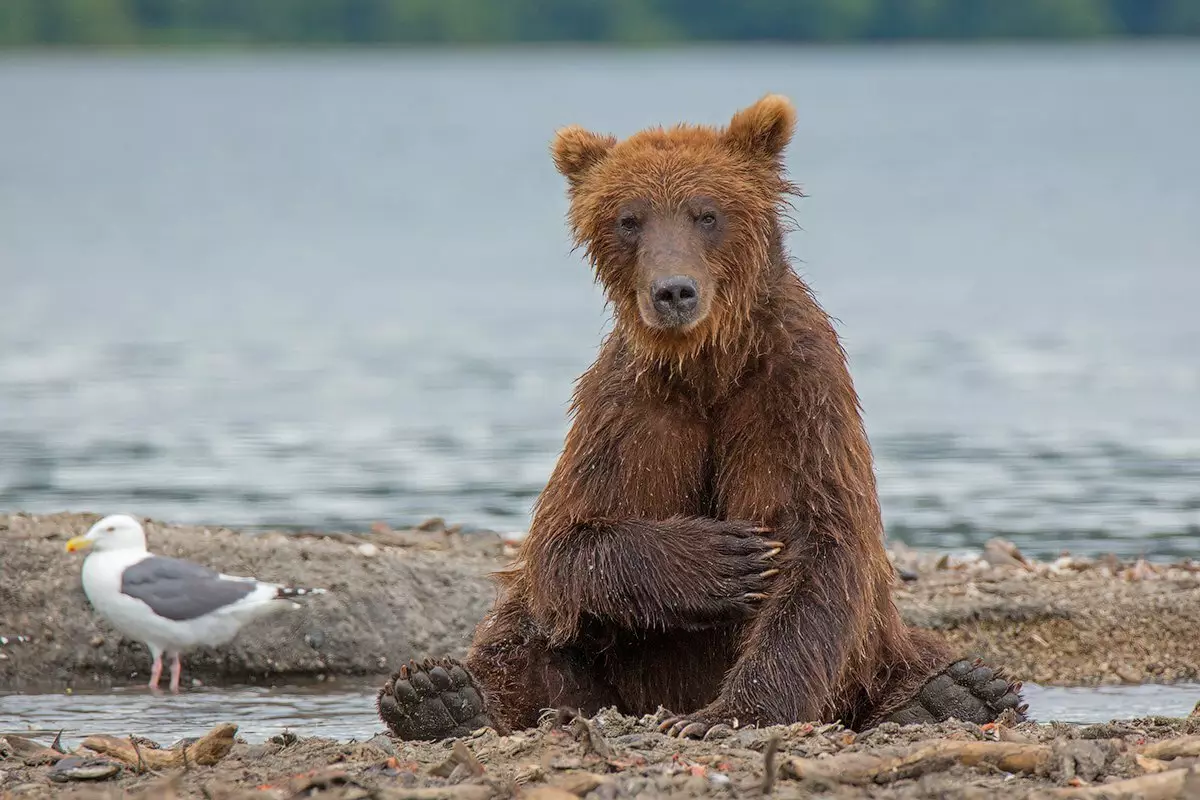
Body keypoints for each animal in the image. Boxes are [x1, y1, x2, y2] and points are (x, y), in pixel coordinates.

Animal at [374, 92, 1022, 738]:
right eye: (629, 218)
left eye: (706, 213)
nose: (674, 291)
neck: (709, 365)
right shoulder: (629, 410)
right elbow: (565, 540)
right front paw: (723, 559)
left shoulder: (796, 397)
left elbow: (822, 548)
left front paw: (729, 714)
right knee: (524, 624)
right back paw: (440, 697)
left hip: (876, 646)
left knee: (905, 651)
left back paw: (954, 693)